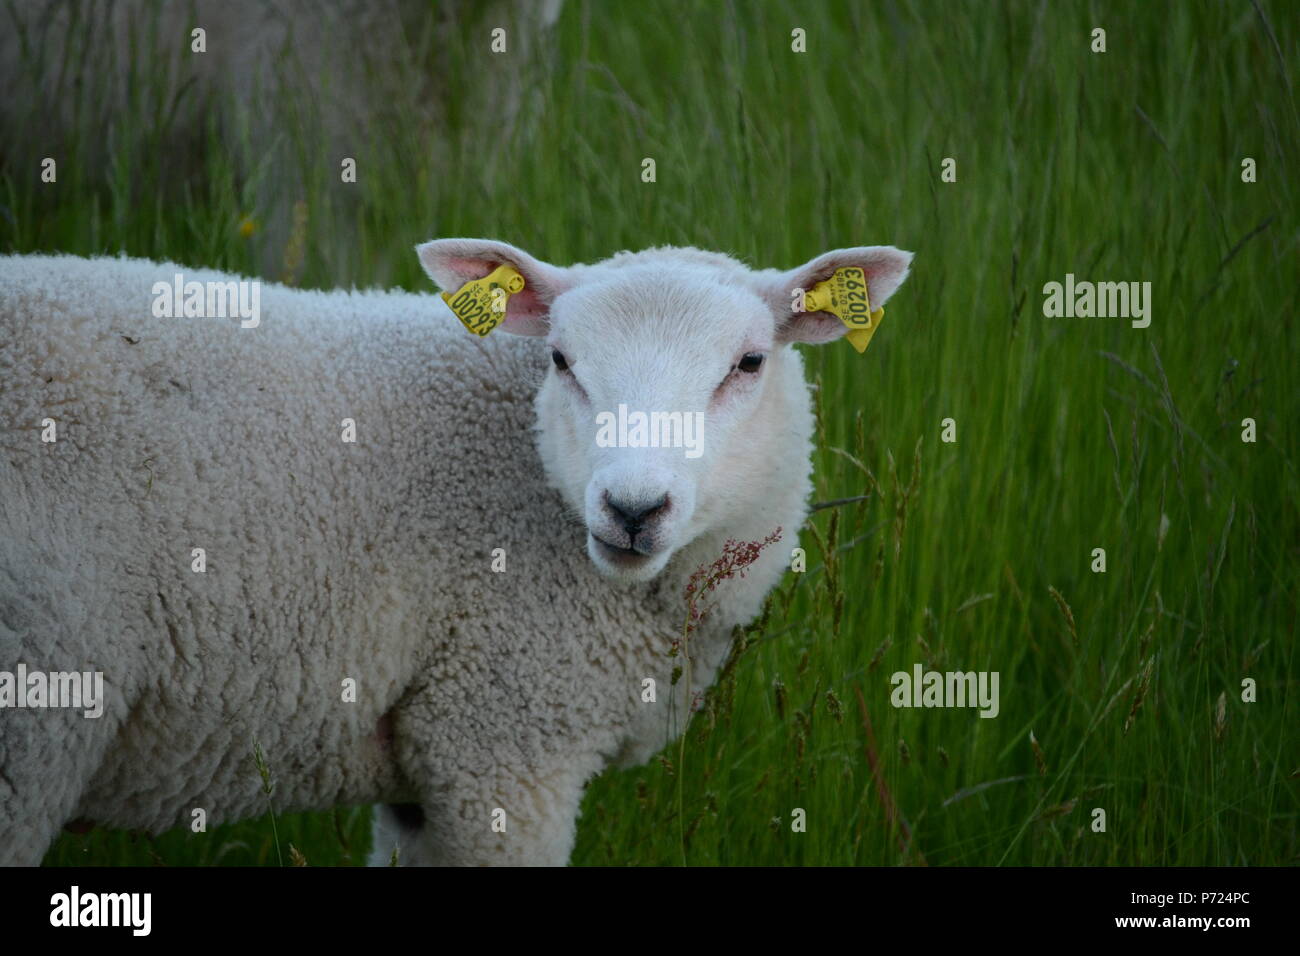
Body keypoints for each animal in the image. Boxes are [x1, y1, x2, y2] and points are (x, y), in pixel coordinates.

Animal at [0, 239, 912, 865]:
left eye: (749, 362)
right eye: (560, 360)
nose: (632, 509)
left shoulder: (424, 766)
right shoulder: (501, 738)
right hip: (33, 716)